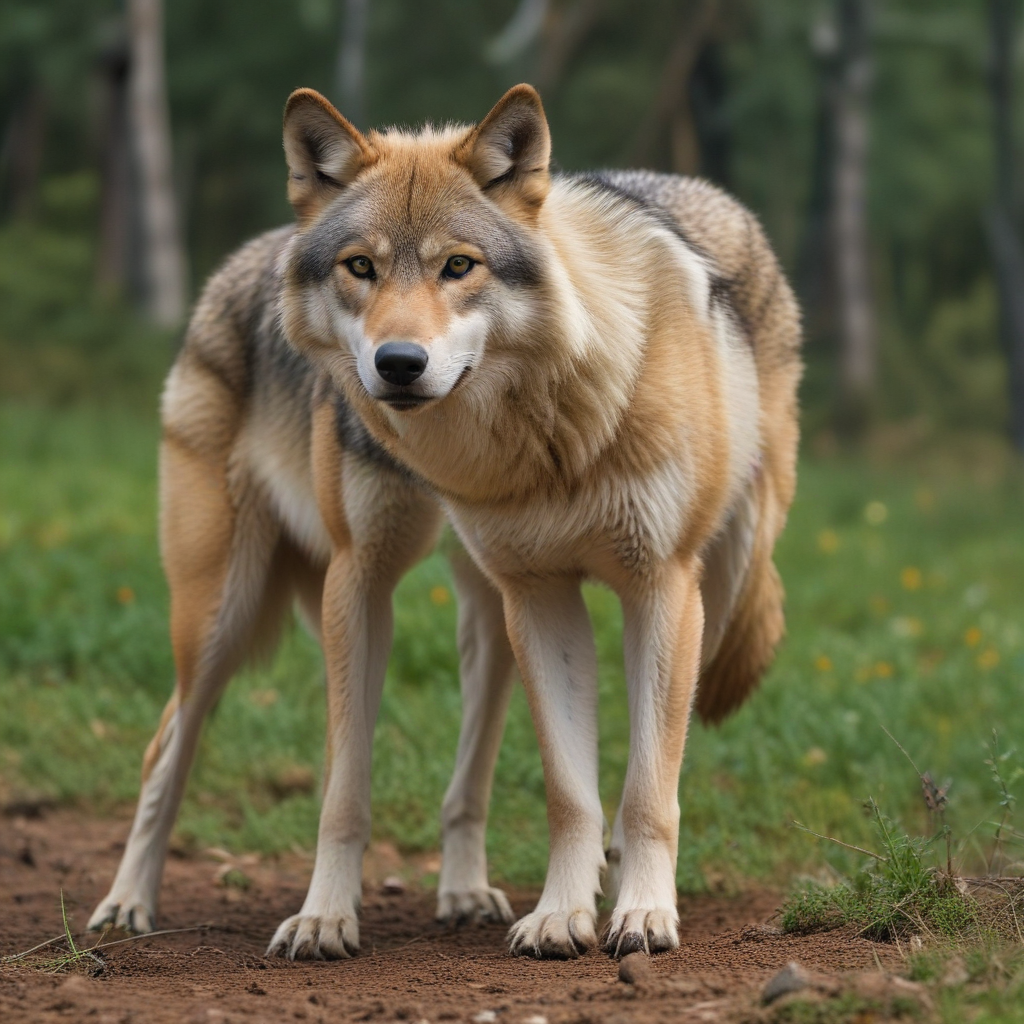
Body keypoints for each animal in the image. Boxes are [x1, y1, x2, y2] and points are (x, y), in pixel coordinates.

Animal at [89, 84, 800, 961]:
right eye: (361, 266)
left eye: (458, 265)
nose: (399, 363)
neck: (548, 432)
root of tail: (251, 253)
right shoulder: (448, 589)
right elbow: (386, 791)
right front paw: (339, 918)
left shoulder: (657, 590)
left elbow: (643, 788)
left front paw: (639, 916)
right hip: (228, 614)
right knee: (165, 748)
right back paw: (127, 906)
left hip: (667, 596)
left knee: (502, 771)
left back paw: (473, 893)